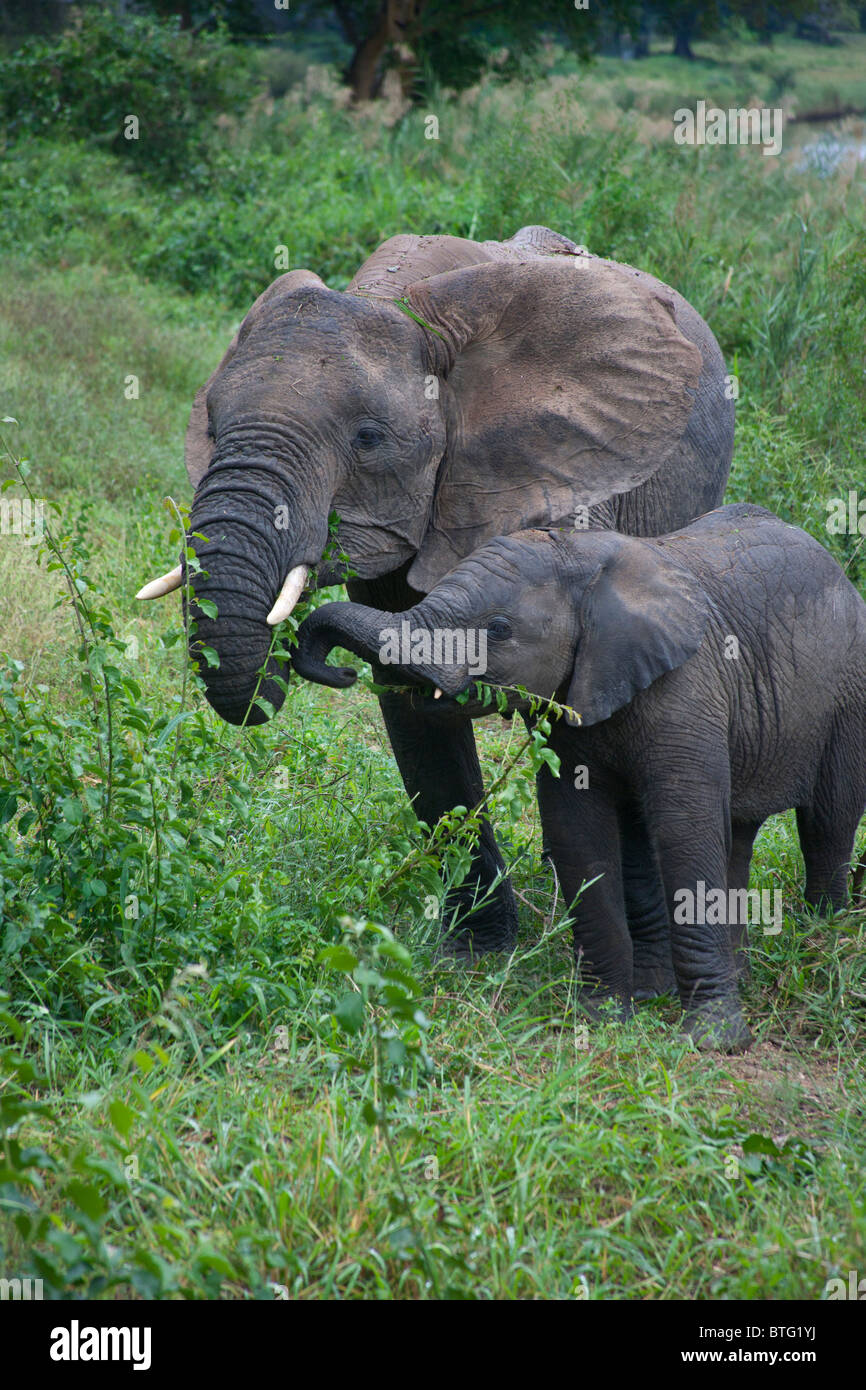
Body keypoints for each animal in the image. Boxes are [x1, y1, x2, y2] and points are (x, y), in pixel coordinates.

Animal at [291, 503, 866, 1052]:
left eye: (498, 629)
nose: (342, 671)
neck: (585, 566)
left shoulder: (688, 687)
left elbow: (686, 832)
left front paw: (714, 1039)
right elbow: (577, 831)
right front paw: (603, 1017)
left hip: (850, 689)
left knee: (827, 822)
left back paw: (824, 939)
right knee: (739, 836)